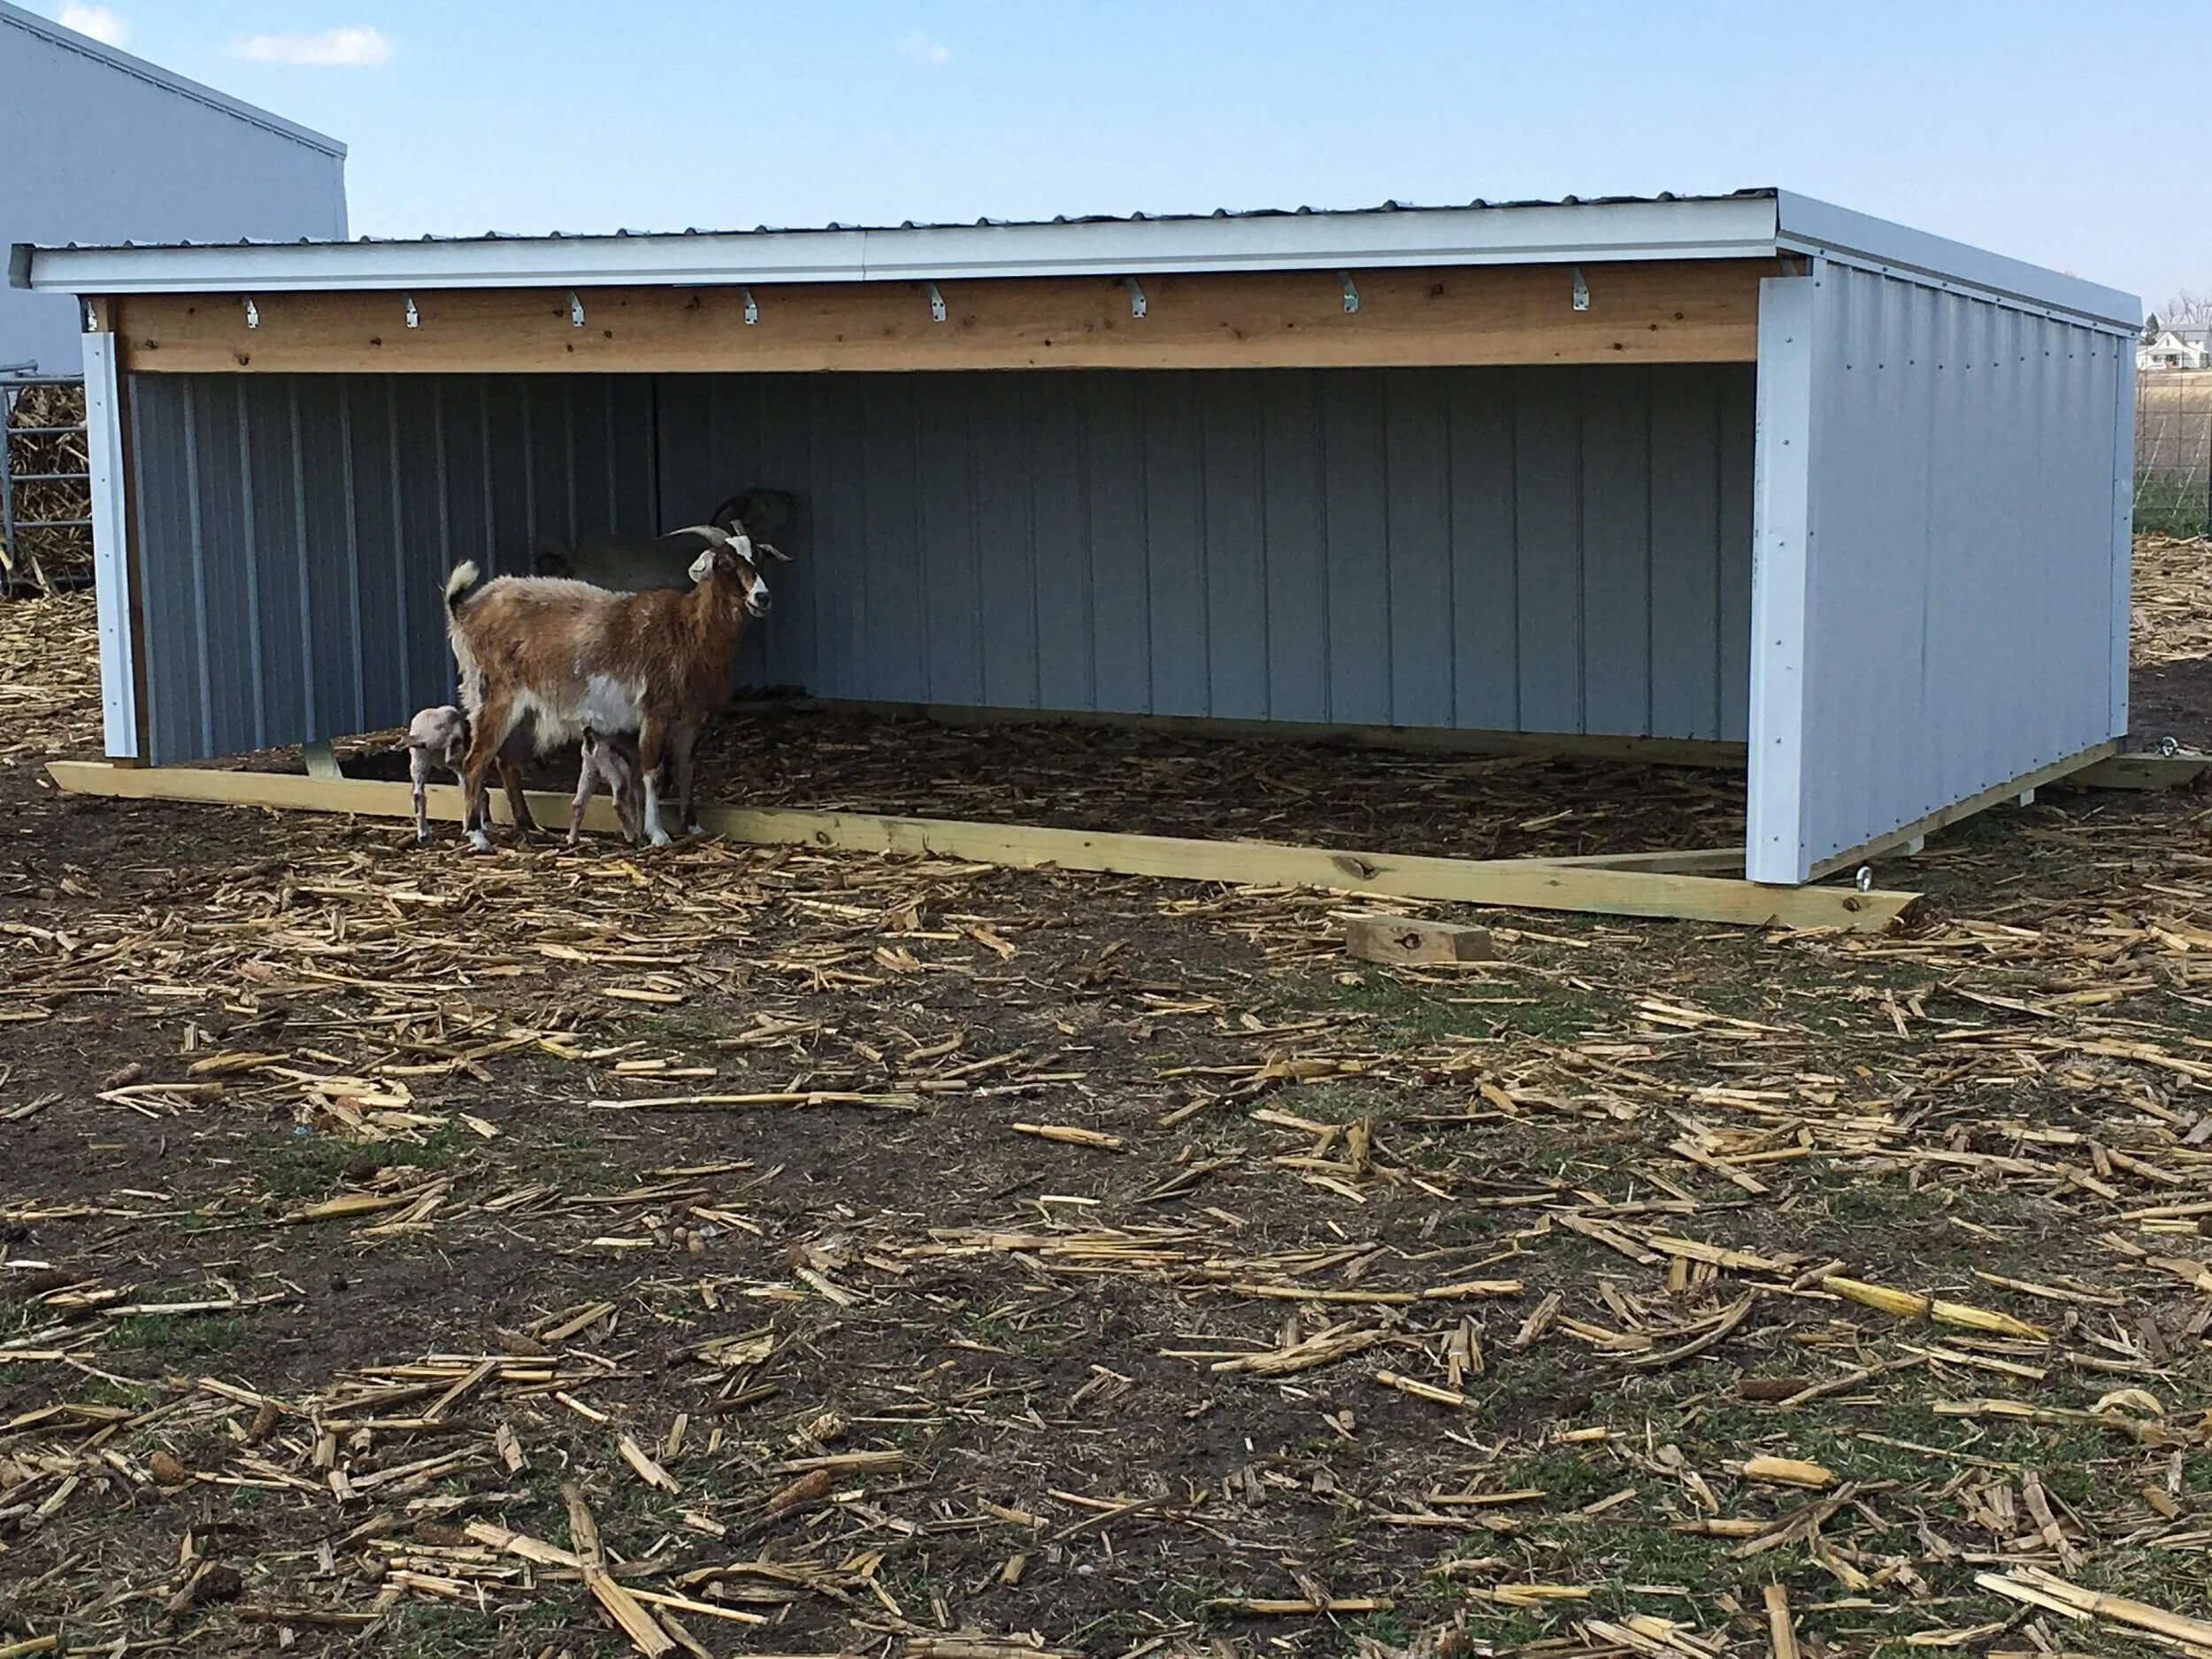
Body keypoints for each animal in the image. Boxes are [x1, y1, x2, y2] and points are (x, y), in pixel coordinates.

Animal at [569, 726, 646, 846]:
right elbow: (638, 806)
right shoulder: (637, 781)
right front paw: (638, 832)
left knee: (578, 803)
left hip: (589, 774)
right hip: (616, 775)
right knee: (617, 803)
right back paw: (630, 836)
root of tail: (592, 745)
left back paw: (572, 839)